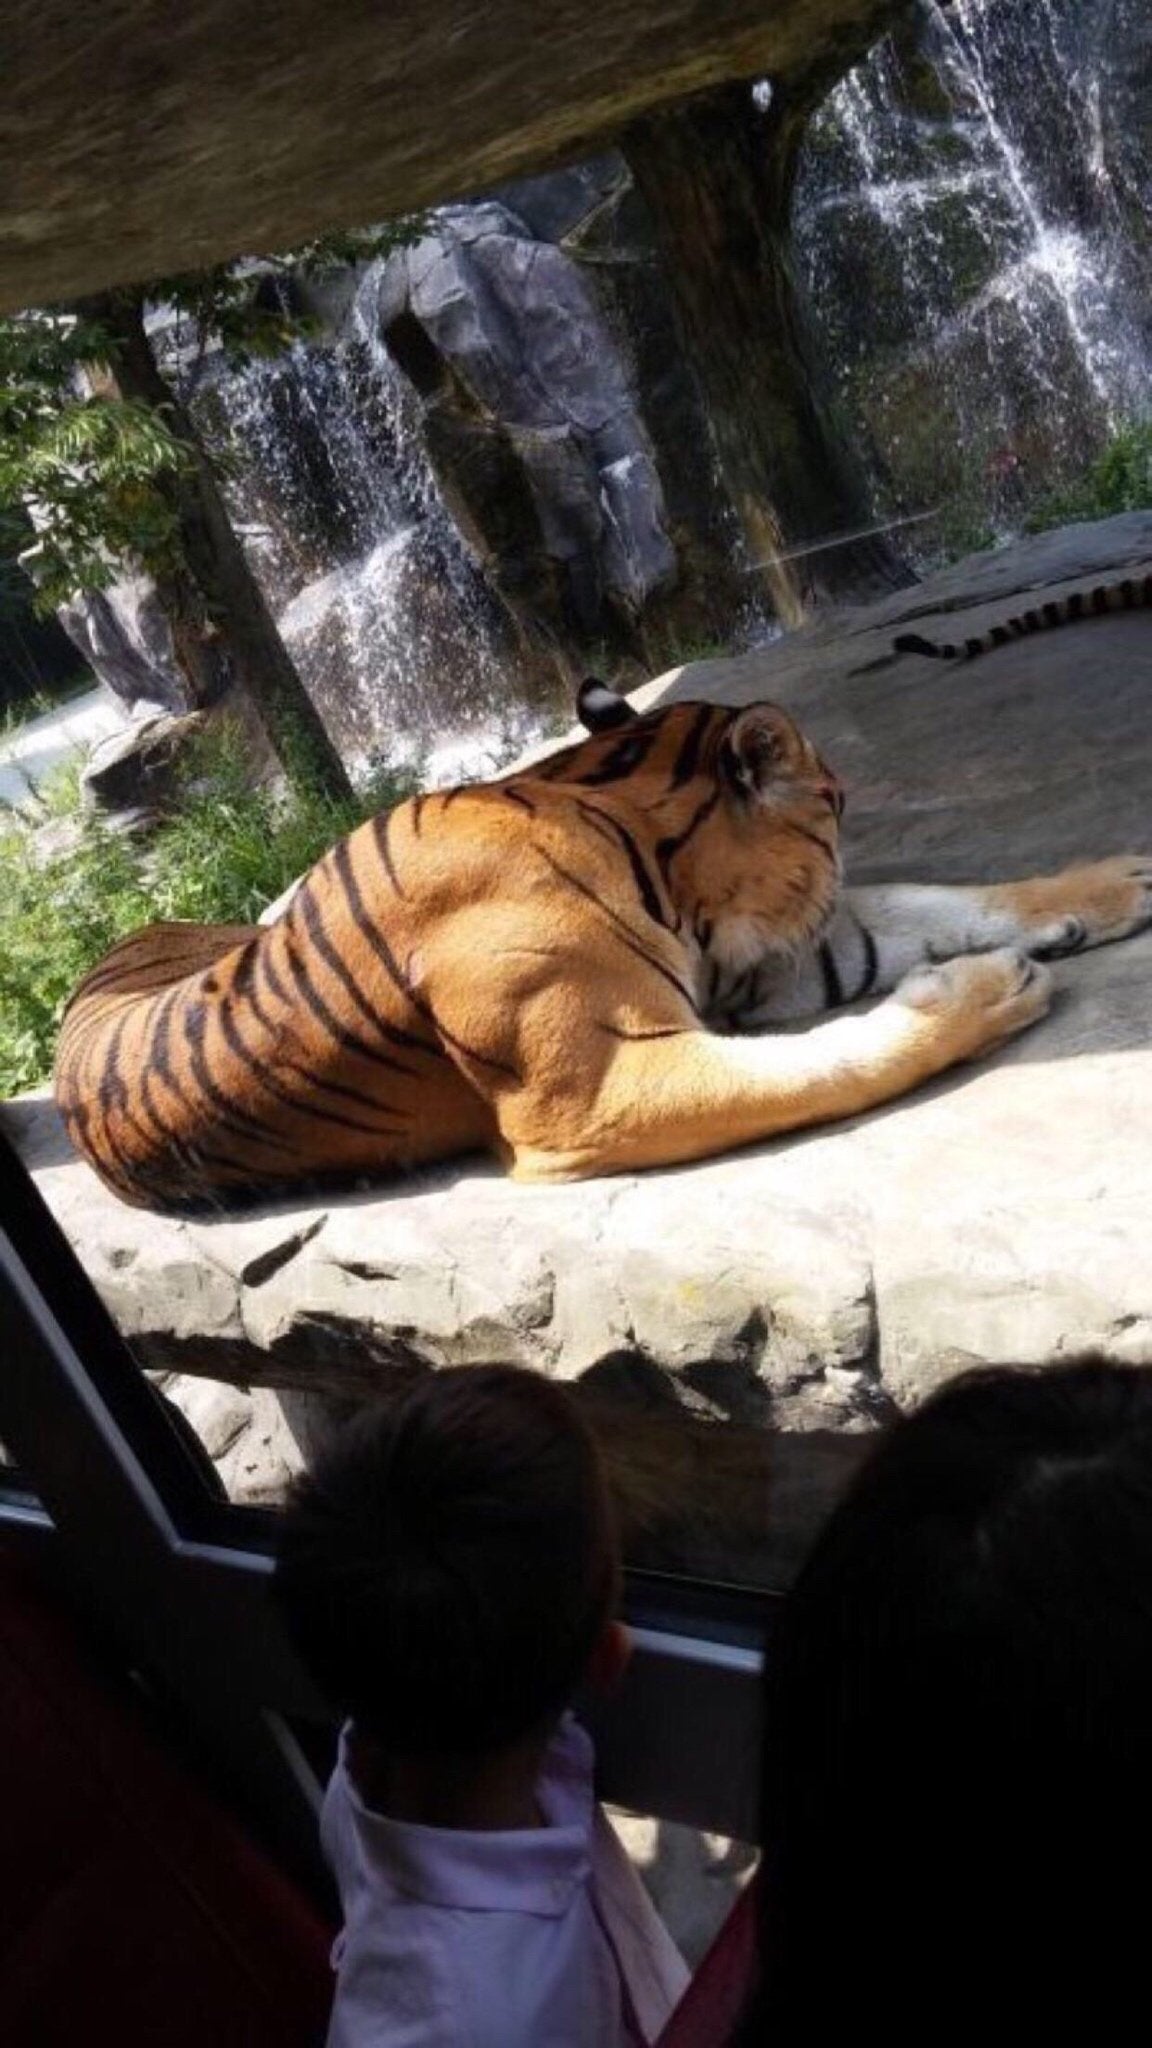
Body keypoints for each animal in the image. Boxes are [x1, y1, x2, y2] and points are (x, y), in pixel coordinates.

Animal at [54, 681, 1152, 1211]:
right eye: (835, 802)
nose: (841, 818)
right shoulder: (595, 1088)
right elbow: (830, 1061)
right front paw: (982, 991)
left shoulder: (775, 965)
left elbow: (934, 900)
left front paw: (1111, 886)